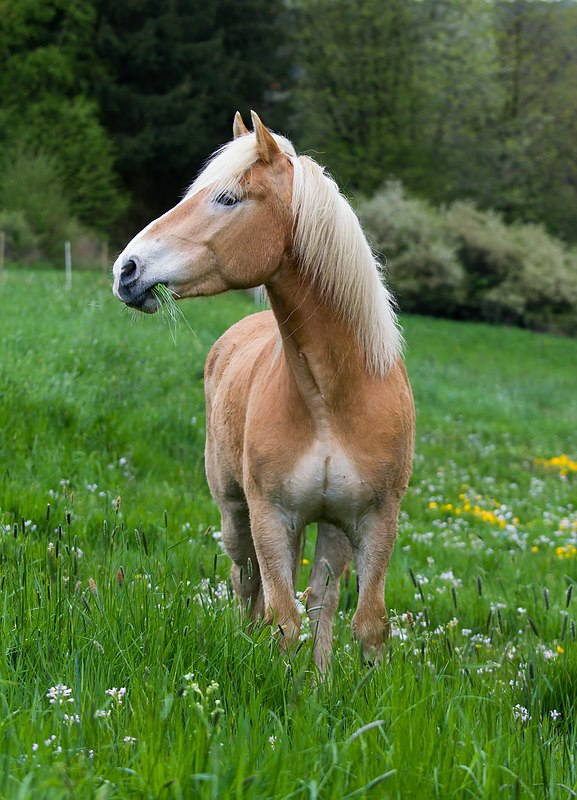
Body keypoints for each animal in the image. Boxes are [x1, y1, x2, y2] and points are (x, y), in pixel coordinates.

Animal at [112, 108, 414, 668]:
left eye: (227, 198)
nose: (127, 269)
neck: (333, 398)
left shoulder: (374, 520)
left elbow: (365, 625)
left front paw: (327, 684)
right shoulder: (271, 517)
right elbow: (281, 621)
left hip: (329, 527)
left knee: (320, 597)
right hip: (236, 514)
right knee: (246, 582)